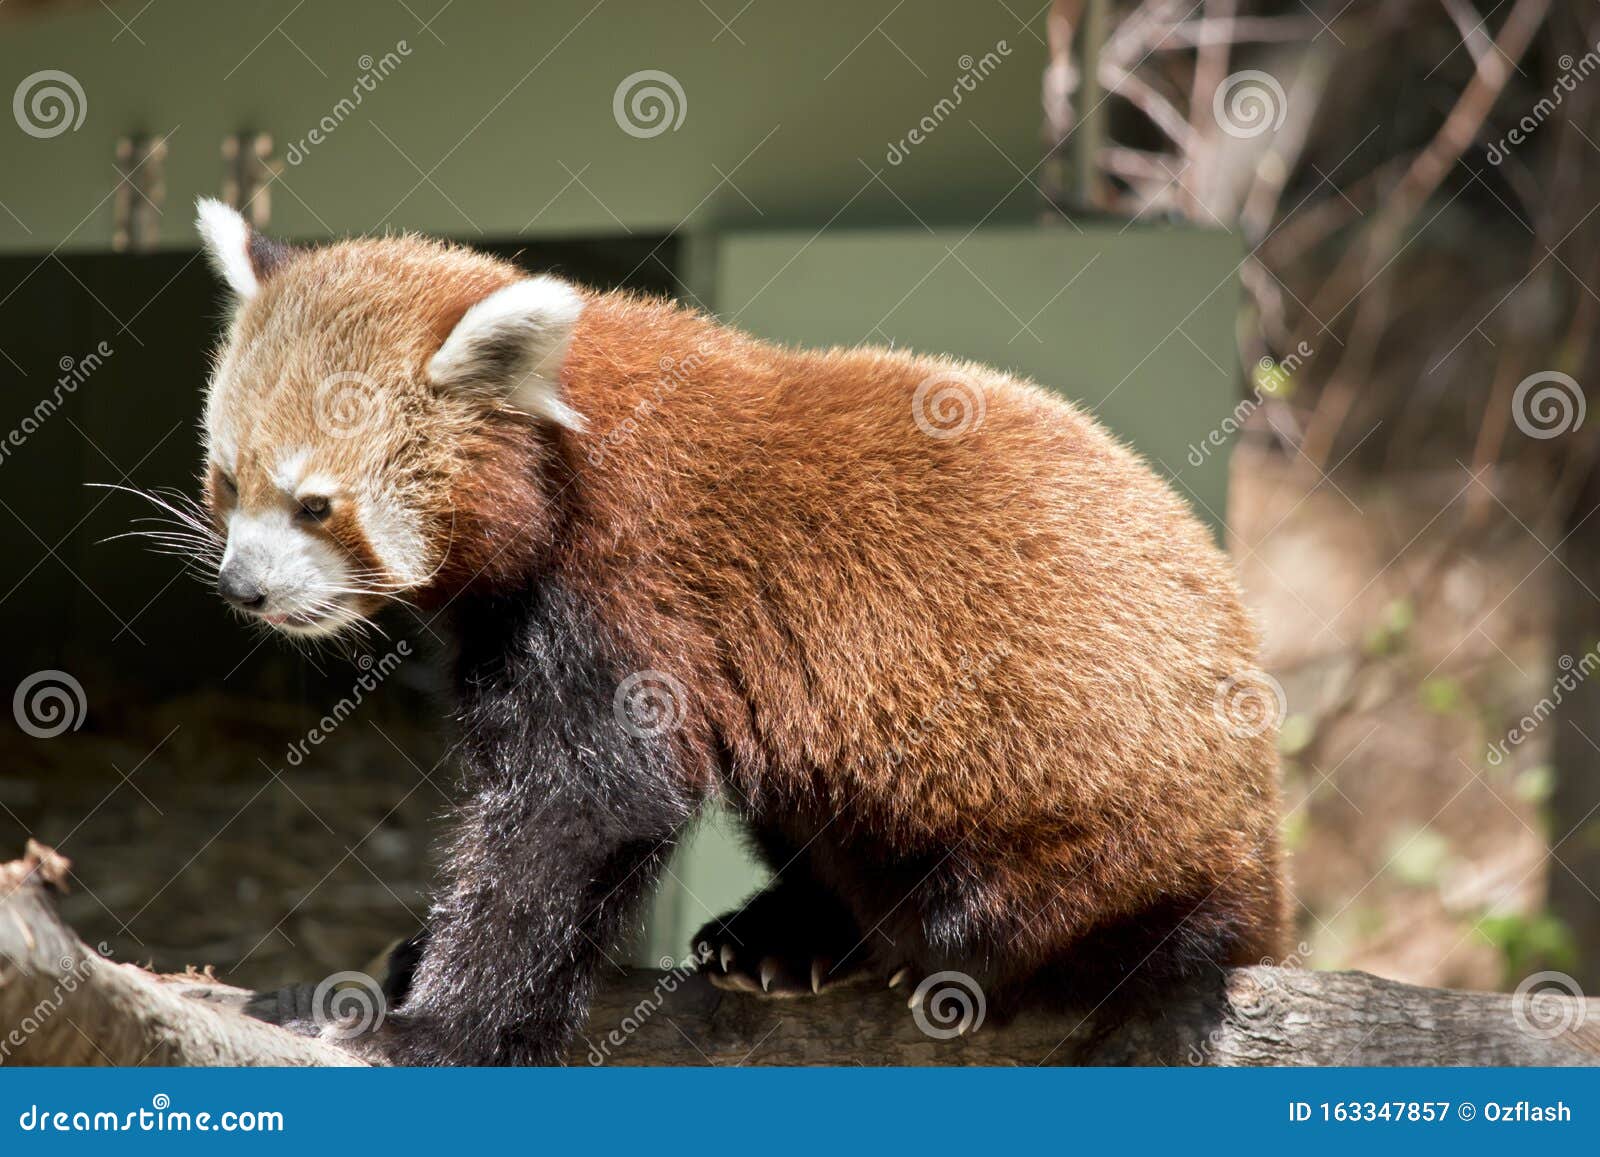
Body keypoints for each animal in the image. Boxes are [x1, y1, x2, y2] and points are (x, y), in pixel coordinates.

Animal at [188, 198, 1286, 1065]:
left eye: (317, 505)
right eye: (230, 483)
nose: (243, 588)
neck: (560, 466)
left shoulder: (622, 594)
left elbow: (583, 810)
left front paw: (433, 1025)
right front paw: (419, 959)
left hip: (1104, 810)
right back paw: (791, 935)